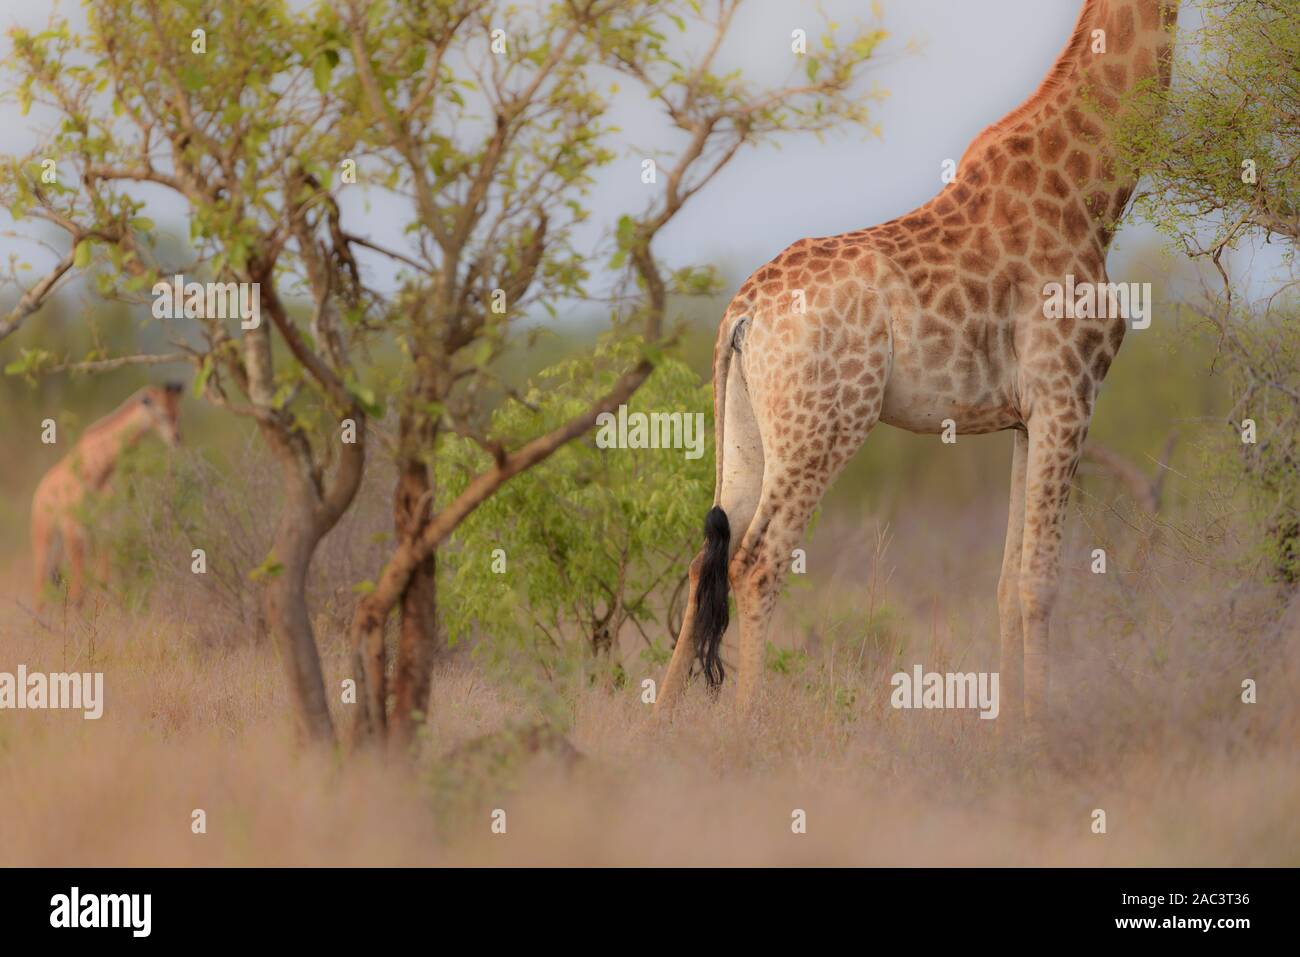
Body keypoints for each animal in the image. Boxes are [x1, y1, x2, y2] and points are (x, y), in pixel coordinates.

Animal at [30, 382, 184, 611]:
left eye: (178, 412)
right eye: (162, 413)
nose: (177, 439)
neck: (97, 473)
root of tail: (39, 494)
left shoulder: (105, 530)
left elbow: (103, 586)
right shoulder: (74, 531)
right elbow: (77, 595)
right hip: (45, 542)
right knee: (40, 594)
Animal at [654, 0, 1181, 744]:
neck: (1092, 190)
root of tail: (742, 311)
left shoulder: (1026, 416)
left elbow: (1006, 580)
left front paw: (1007, 729)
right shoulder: (1068, 394)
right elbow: (1040, 580)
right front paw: (1039, 733)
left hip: (747, 430)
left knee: (706, 558)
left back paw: (653, 732)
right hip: (824, 426)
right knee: (756, 561)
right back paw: (745, 731)